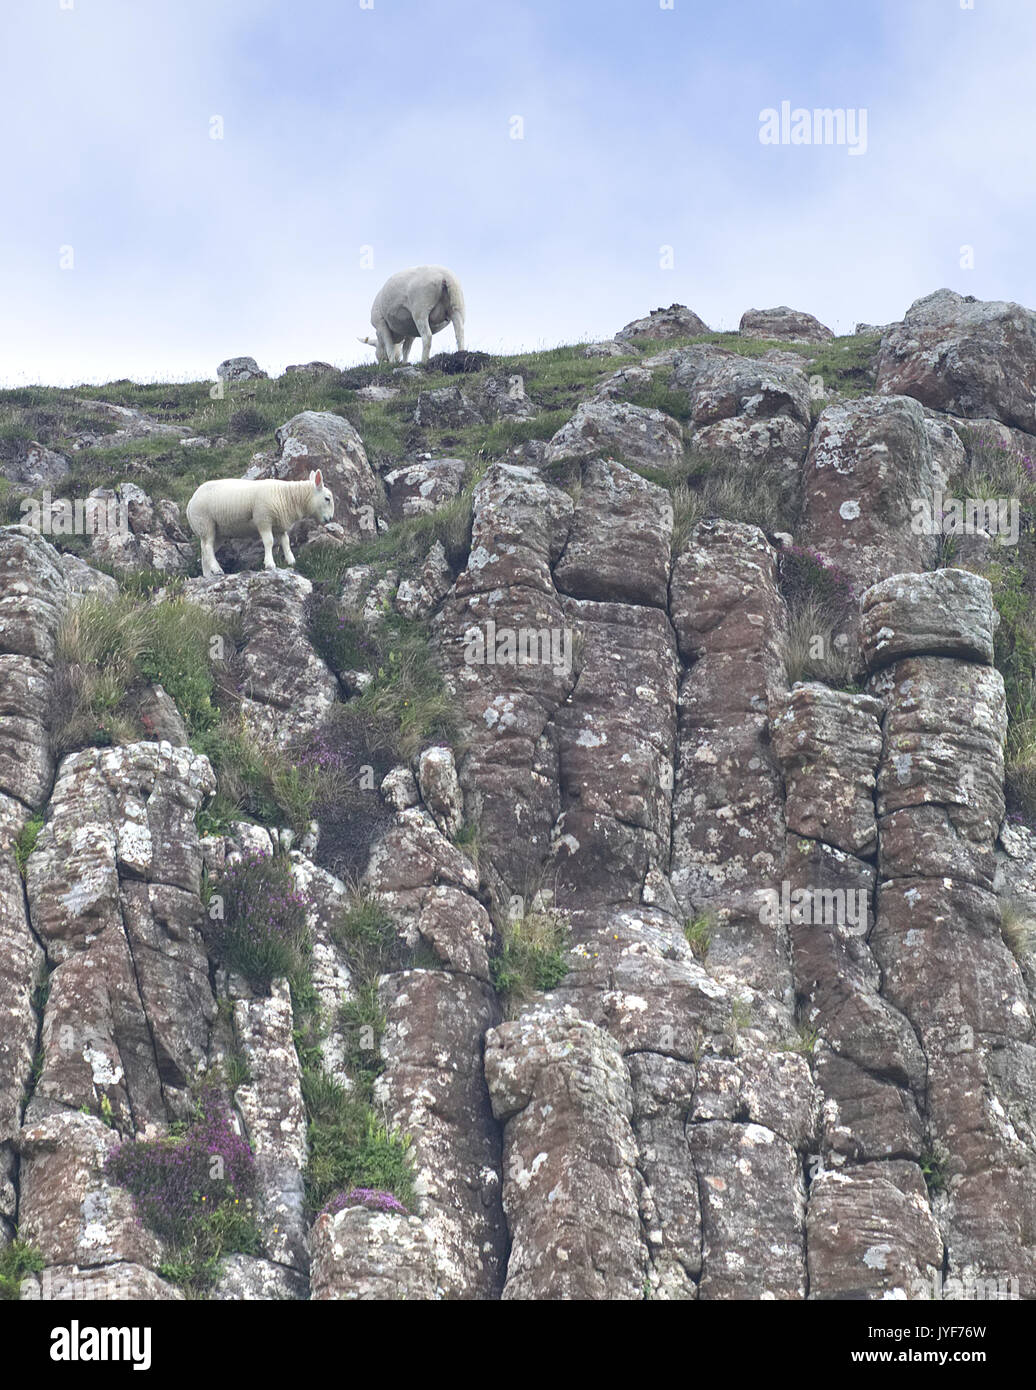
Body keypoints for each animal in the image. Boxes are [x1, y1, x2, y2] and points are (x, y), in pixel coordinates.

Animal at [186, 470, 334, 577]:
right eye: (327, 498)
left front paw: (291, 561)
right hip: (205, 523)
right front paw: (269, 564)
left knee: (205, 550)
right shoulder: (263, 520)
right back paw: (217, 570)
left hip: (217, 532)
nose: (330, 519)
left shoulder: (279, 525)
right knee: (208, 547)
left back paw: (208, 575)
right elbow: (269, 541)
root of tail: (191, 502)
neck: (288, 497)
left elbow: (286, 542)